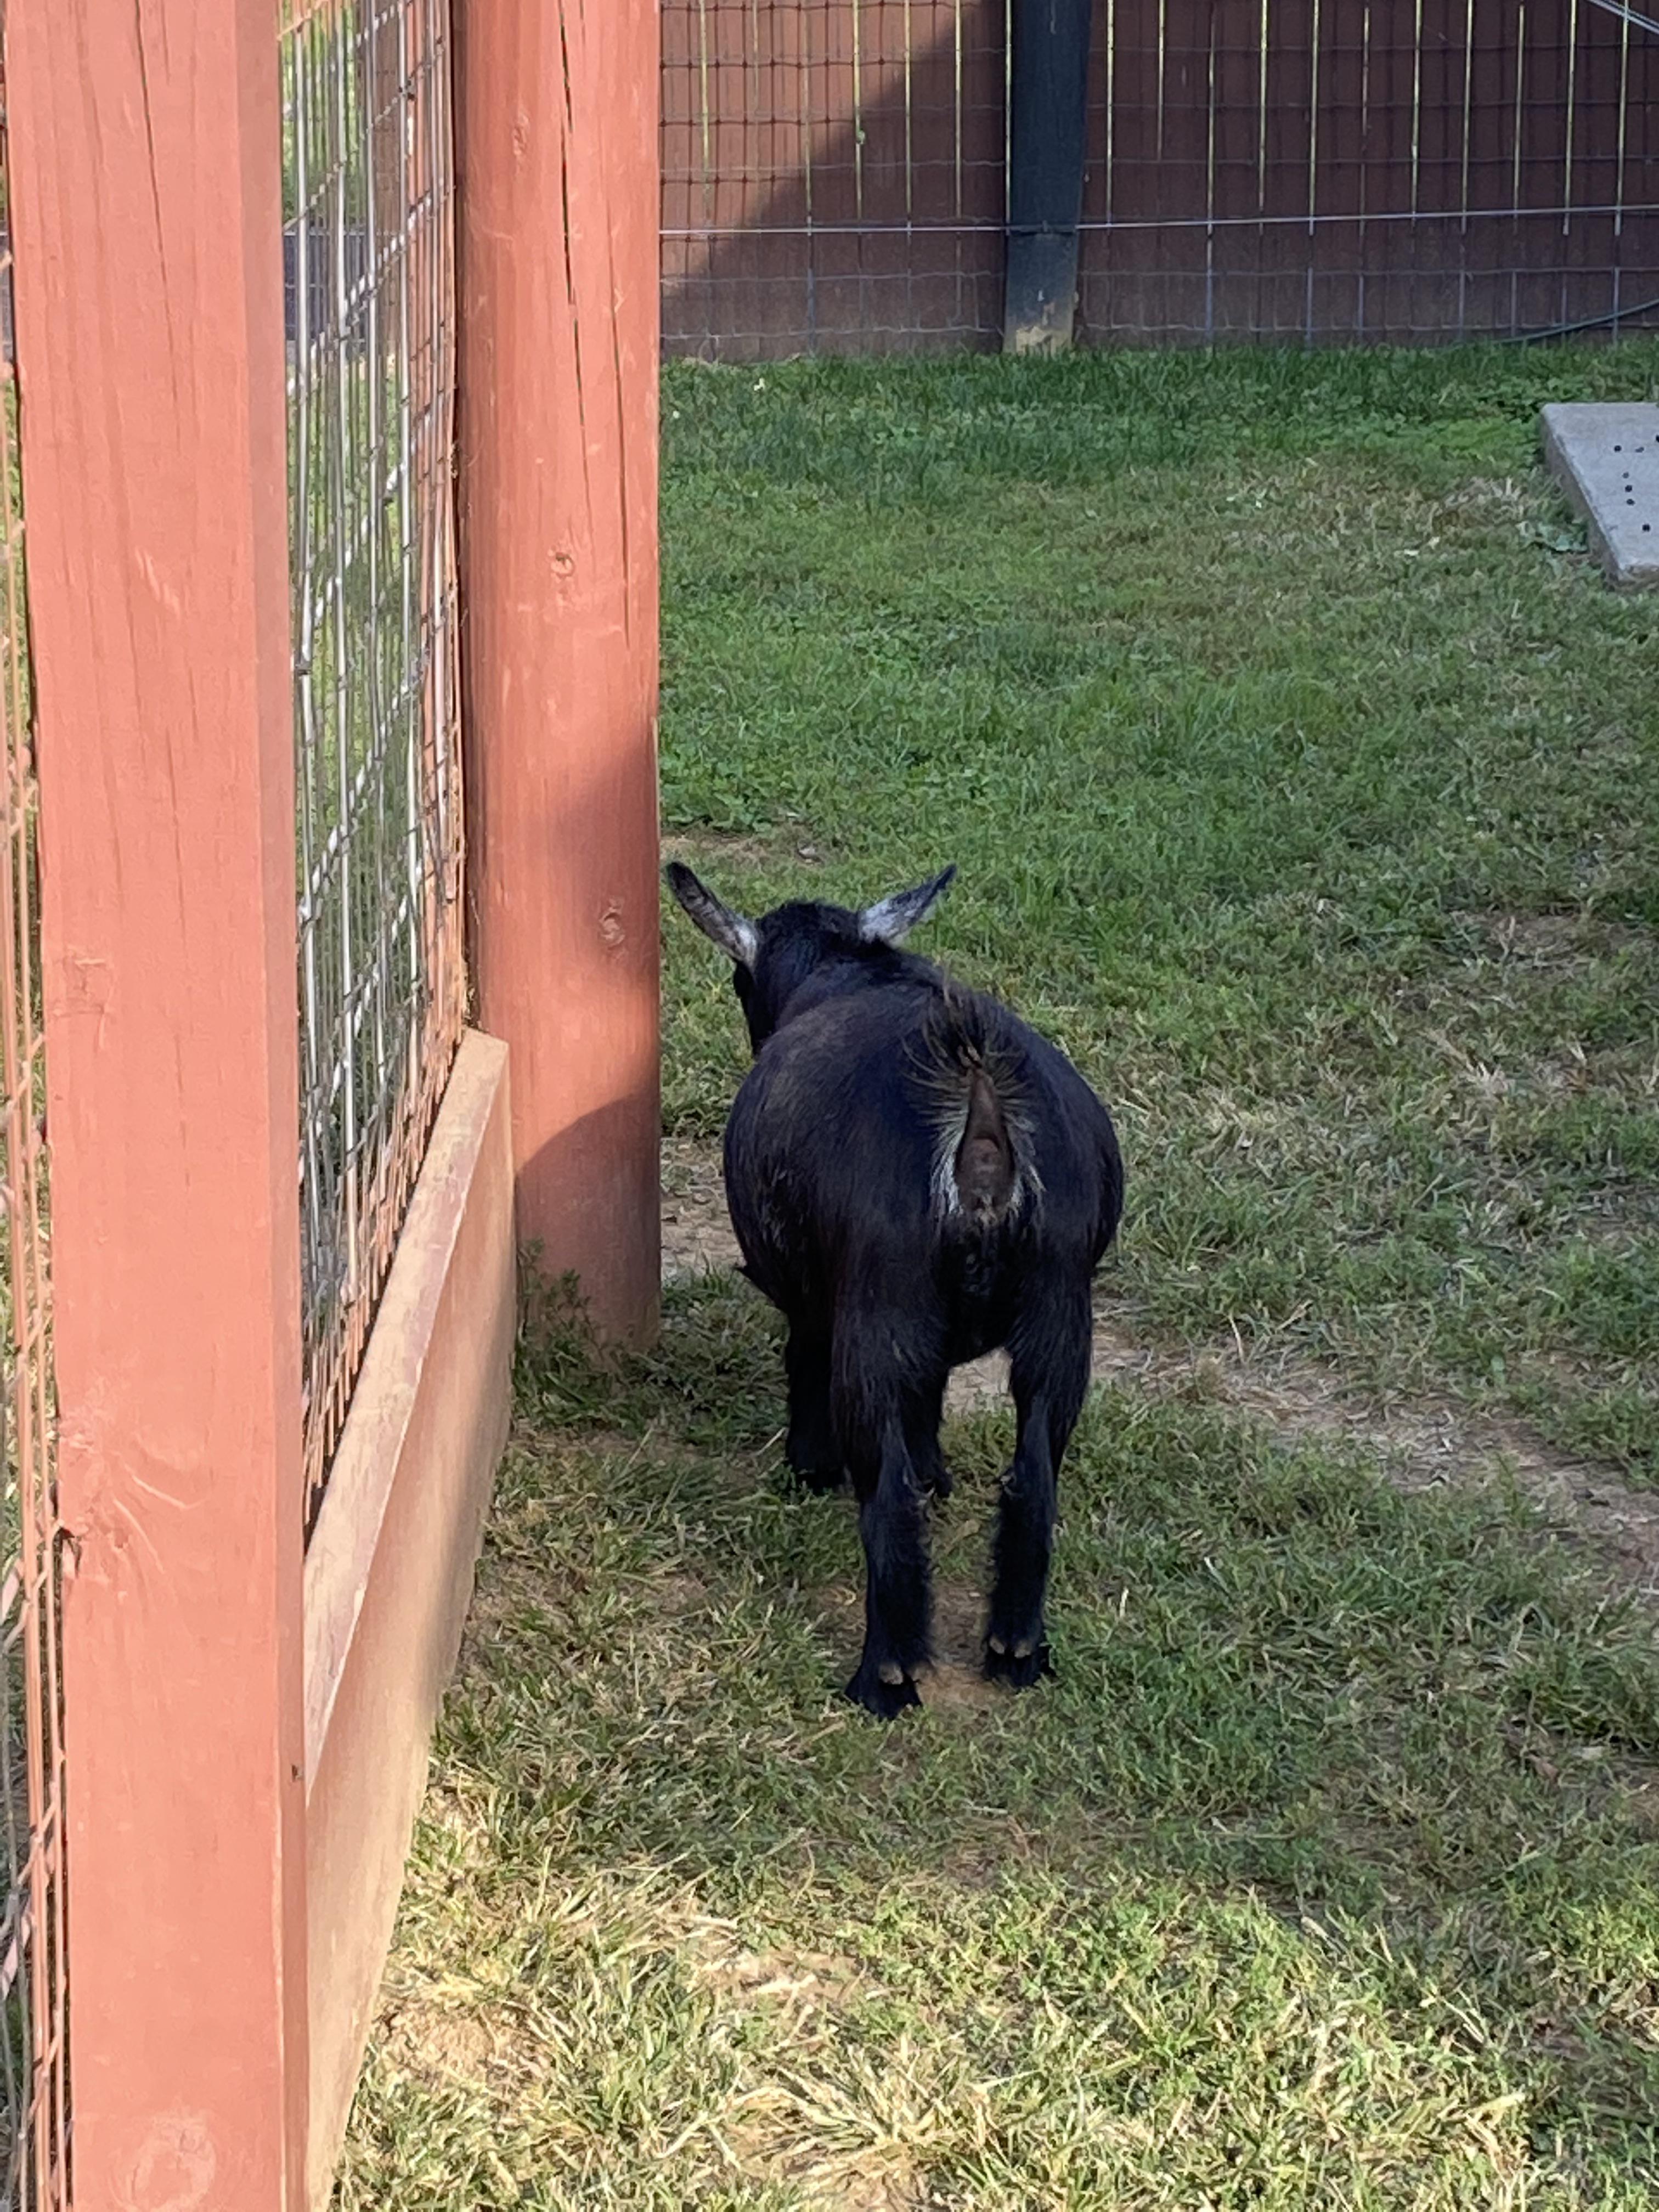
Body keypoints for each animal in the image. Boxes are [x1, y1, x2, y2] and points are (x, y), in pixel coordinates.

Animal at [666, 860, 1124, 1718]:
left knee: (887, 1497)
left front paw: (808, 1468)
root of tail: (981, 1132)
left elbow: (804, 1364)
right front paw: (940, 1471)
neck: (847, 973)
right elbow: (932, 1402)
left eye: (739, 980)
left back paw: (884, 1674)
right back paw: (1018, 1649)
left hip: (875, 1329)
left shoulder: (822, 1308)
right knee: (1034, 1483)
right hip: (1060, 1324)